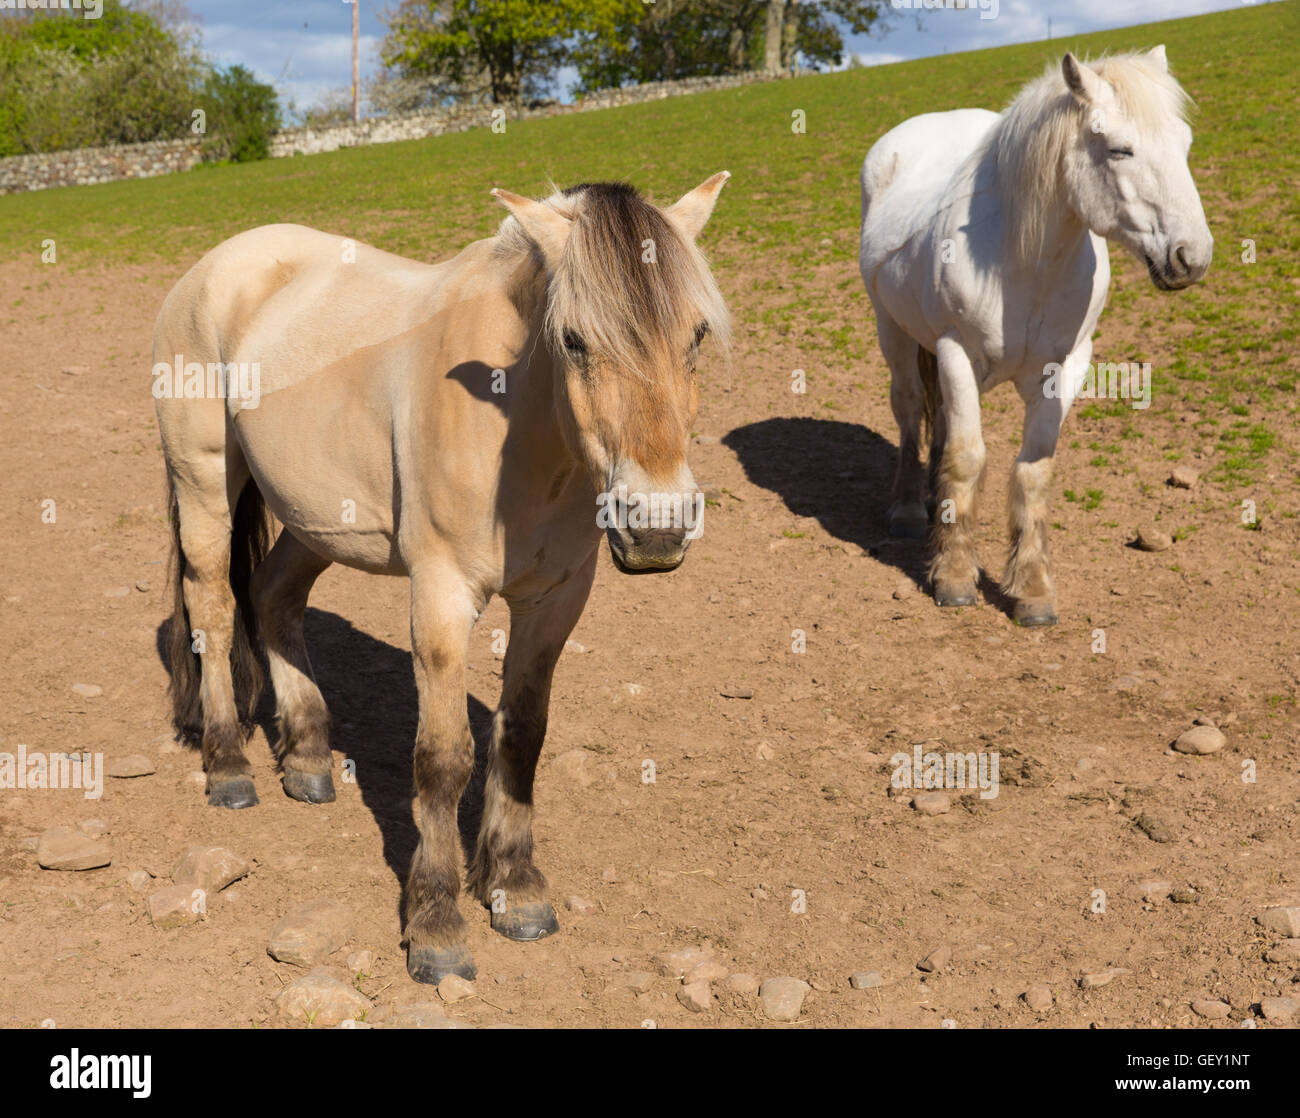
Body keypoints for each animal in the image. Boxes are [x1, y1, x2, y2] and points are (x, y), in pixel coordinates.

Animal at [152, 174, 731, 983]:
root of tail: (213, 266)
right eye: (573, 339)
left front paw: (515, 889)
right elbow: (444, 758)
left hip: (315, 519)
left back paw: (307, 758)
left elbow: (522, 737)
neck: (520, 429)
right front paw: (436, 925)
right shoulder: (442, 597)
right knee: (211, 608)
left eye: (697, 335)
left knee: (272, 598)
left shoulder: (556, 600)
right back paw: (230, 765)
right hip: (204, 481)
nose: (657, 527)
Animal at [858, 48, 1212, 625]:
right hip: (894, 331)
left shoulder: (1066, 367)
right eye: (1119, 149)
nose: (1192, 257)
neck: (1024, 264)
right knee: (910, 410)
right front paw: (954, 576)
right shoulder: (955, 351)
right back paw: (911, 508)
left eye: (1184, 144)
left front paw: (1033, 589)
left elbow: (1032, 470)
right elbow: (967, 457)